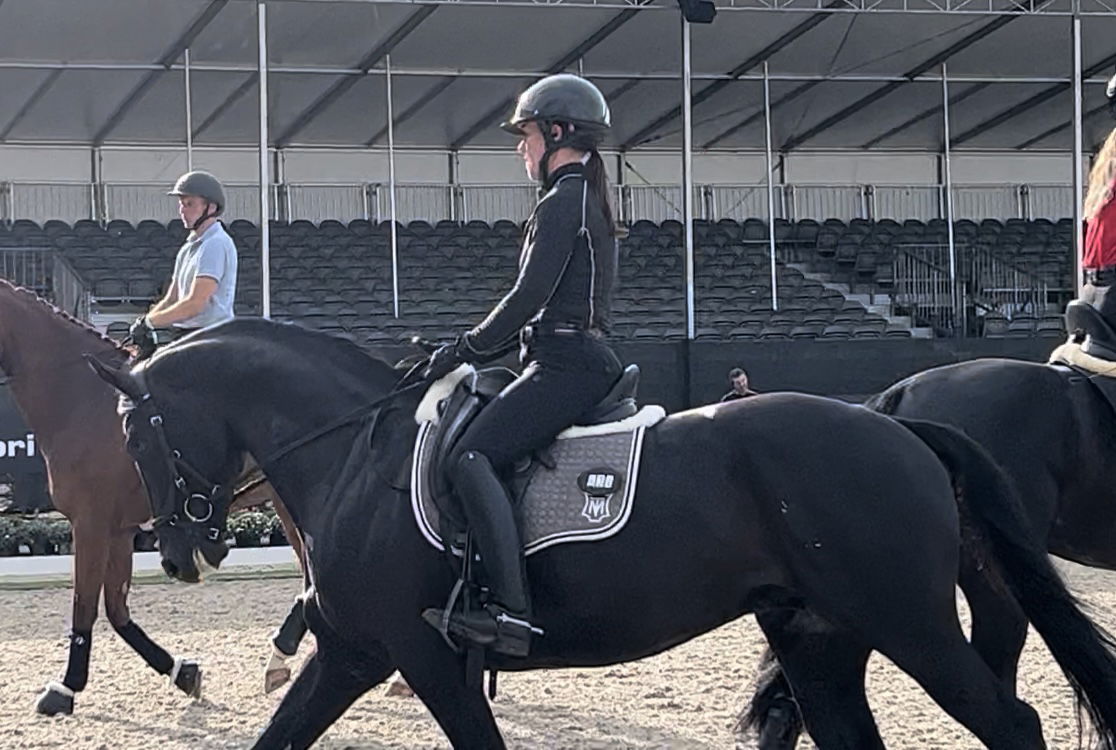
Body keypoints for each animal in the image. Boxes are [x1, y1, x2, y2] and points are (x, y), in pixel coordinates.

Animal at [0, 279, 306, 713]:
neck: (81, 400)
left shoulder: (90, 523)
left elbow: (84, 604)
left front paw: (64, 689)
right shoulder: (118, 530)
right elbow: (116, 609)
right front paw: (183, 673)